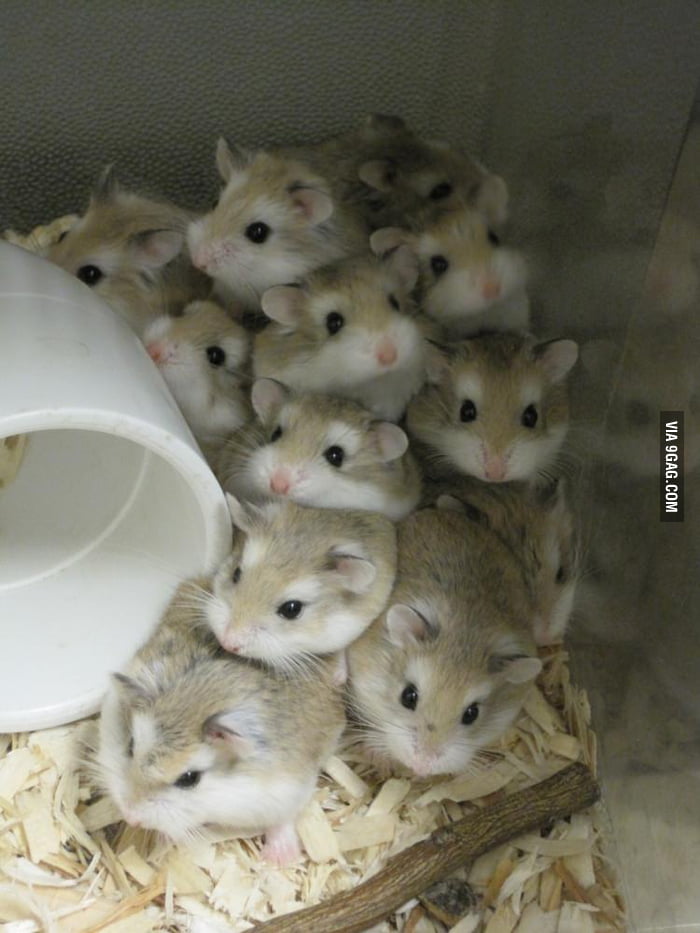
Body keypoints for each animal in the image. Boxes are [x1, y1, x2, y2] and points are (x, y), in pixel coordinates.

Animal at [96, 578, 345, 866]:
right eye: (130, 747)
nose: (130, 816)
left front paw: (277, 860)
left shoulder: (289, 791)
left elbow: (283, 820)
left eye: (189, 779)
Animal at [346, 507, 541, 778]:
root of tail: (442, 511)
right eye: (408, 696)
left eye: (472, 714)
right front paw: (379, 759)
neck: (465, 632)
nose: (421, 766)